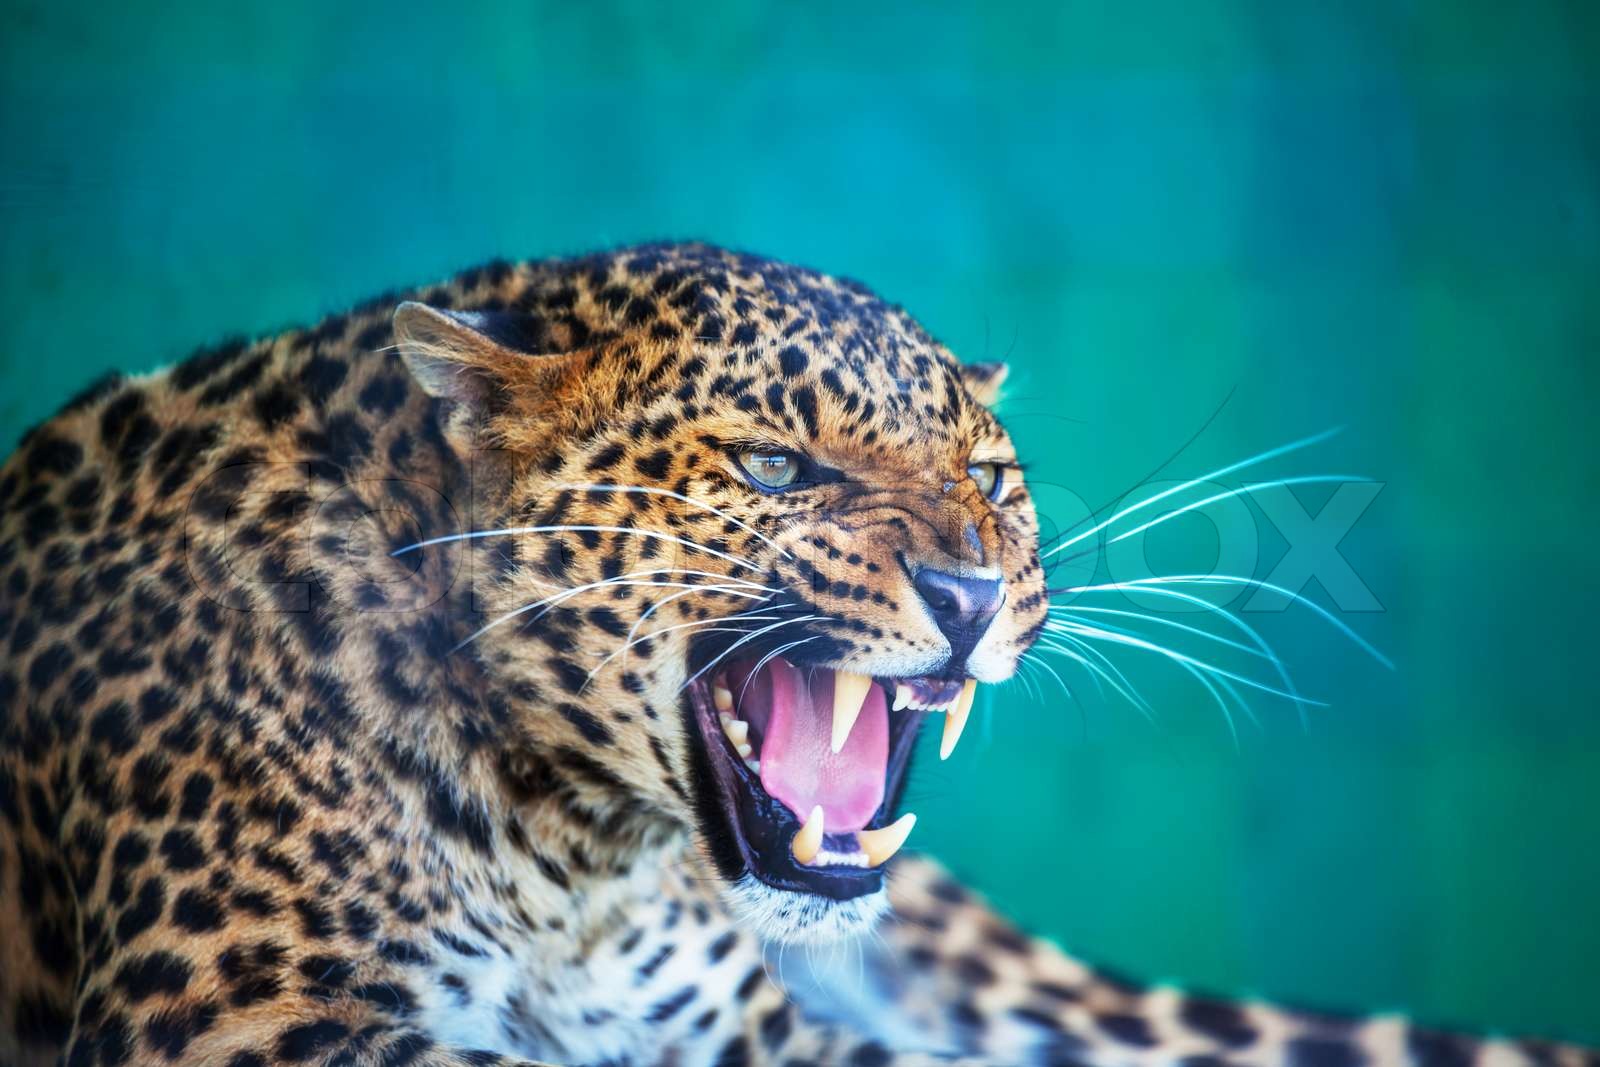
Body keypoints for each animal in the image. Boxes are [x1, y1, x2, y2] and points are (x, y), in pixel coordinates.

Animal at [1, 242, 1593, 1067]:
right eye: (773, 467)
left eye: (989, 478)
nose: (970, 589)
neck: (574, 866)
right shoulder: (244, 1021)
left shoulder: (763, 1037)